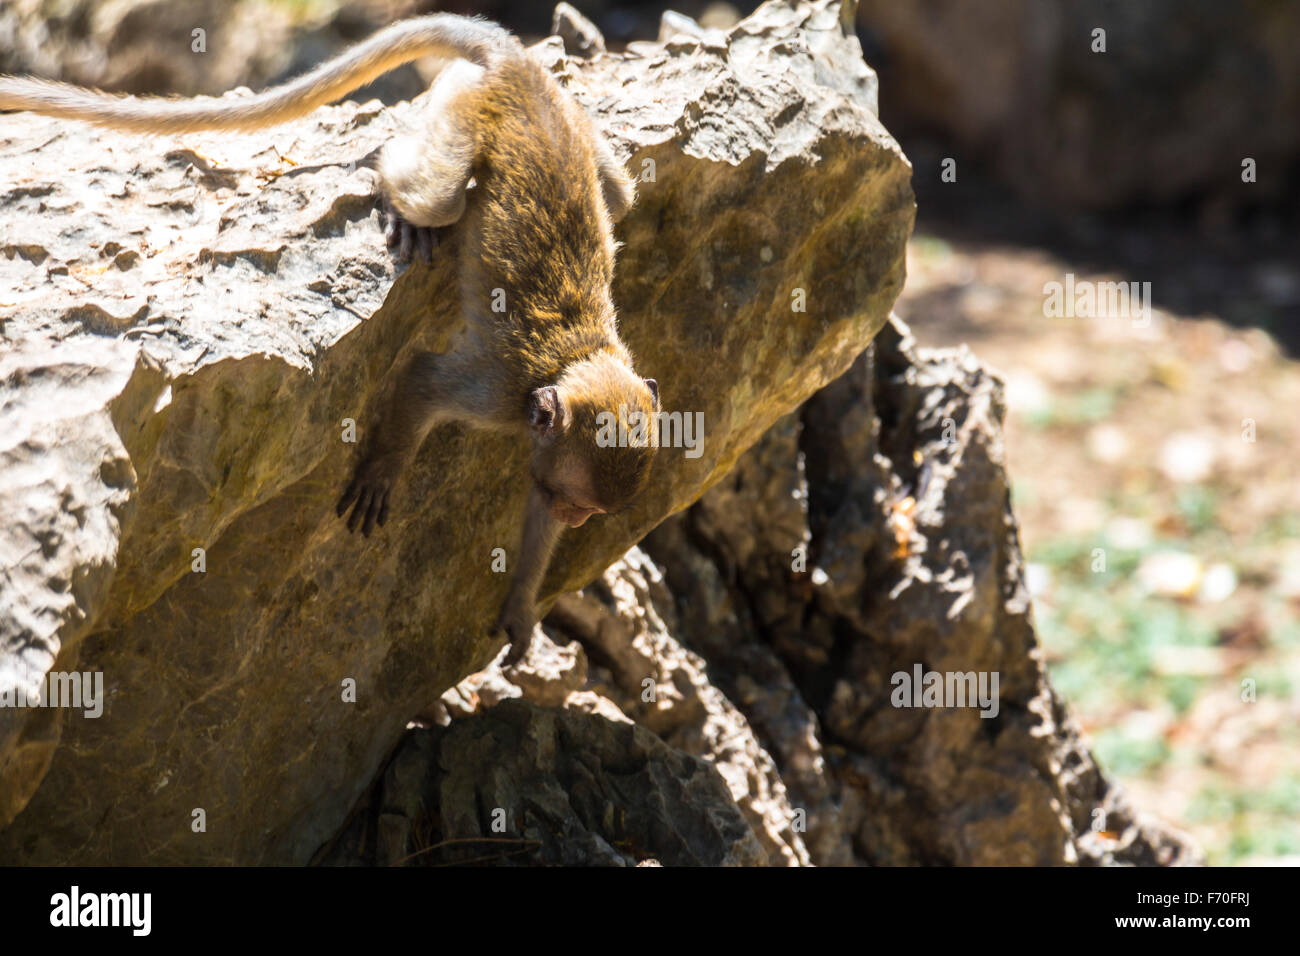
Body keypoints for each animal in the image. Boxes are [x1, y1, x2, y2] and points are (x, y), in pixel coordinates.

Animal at [0, 14, 660, 666]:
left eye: (586, 510)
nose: (576, 520)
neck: (577, 358)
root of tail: (516, 66)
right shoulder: (497, 393)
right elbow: (421, 381)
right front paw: (382, 472)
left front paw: (521, 602)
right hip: (465, 111)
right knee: (441, 196)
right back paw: (395, 191)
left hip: (570, 117)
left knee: (619, 196)